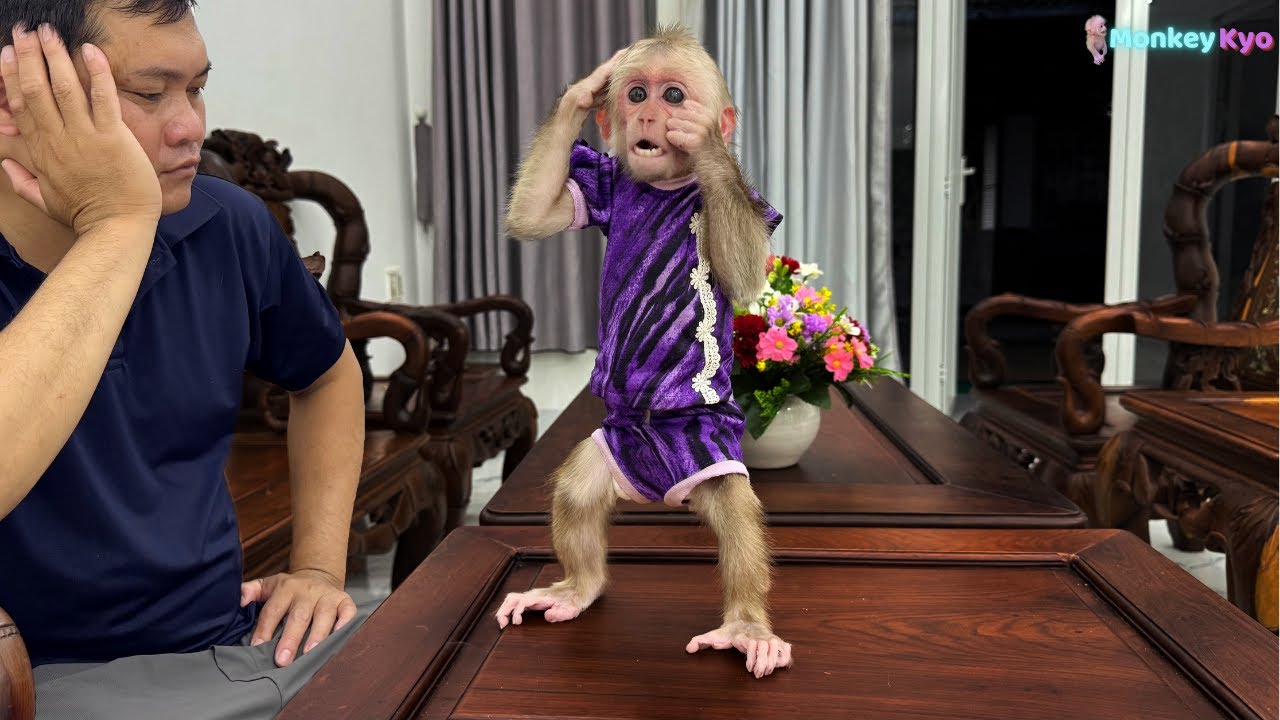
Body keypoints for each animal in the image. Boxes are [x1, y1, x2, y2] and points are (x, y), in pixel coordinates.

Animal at [496, 25, 792, 678]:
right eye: (636, 92)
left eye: (675, 93)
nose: (652, 112)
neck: (667, 186)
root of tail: (658, 488)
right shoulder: (600, 182)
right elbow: (536, 213)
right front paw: (583, 92)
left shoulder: (750, 209)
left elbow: (741, 269)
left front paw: (704, 139)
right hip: (614, 447)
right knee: (578, 492)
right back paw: (576, 588)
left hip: (707, 446)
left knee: (736, 515)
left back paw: (746, 626)